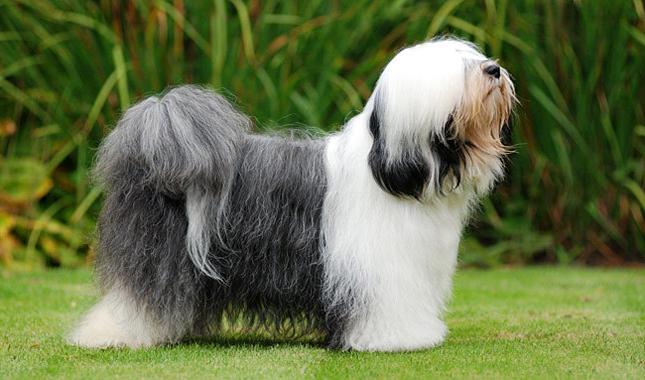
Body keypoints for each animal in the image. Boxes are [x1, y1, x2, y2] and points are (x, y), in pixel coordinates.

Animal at [69, 37, 512, 352]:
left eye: (475, 59)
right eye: (461, 71)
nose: (493, 69)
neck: (388, 169)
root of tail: (155, 138)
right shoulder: (377, 270)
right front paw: (397, 339)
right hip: (156, 253)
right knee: (138, 294)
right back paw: (112, 334)